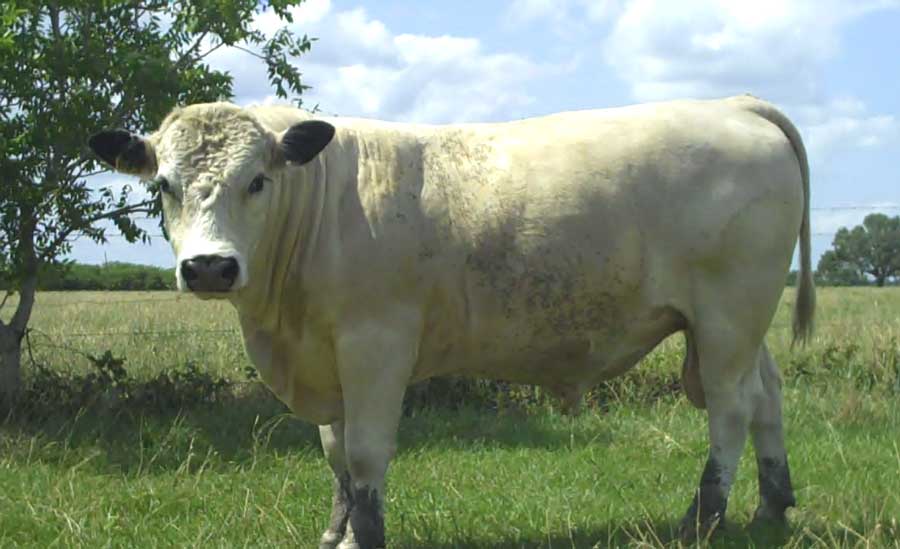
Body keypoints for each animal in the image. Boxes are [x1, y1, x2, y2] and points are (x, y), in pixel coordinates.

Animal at [89, 94, 814, 548]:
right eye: (164, 185)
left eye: (257, 182)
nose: (209, 267)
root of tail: (733, 105)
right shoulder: (327, 356)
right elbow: (334, 455)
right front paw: (336, 533)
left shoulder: (375, 345)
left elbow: (364, 453)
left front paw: (366, 537)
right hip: (741, 321)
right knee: (767, 396)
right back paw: (772, 504)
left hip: (727, 313)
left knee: (729, 410)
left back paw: (703, 520)